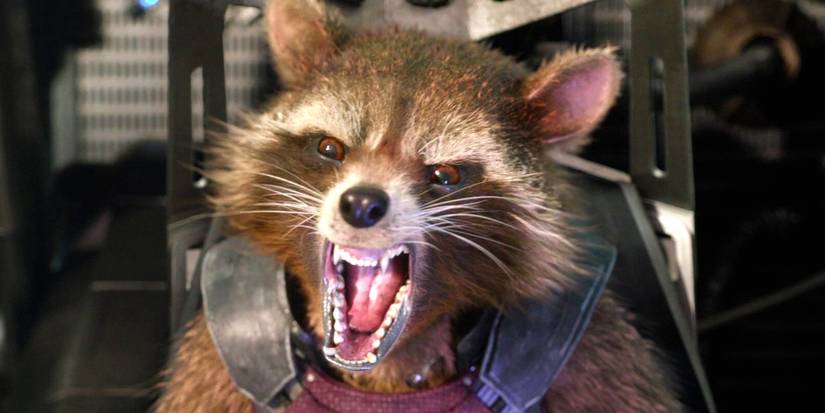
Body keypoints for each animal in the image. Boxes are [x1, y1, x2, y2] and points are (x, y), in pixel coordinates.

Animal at [156, 0, 681, 411]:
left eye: (444, 175)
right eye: (330, 148)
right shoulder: (211, 360)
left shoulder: (597, 351)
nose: (361, 204)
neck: (383, 371)